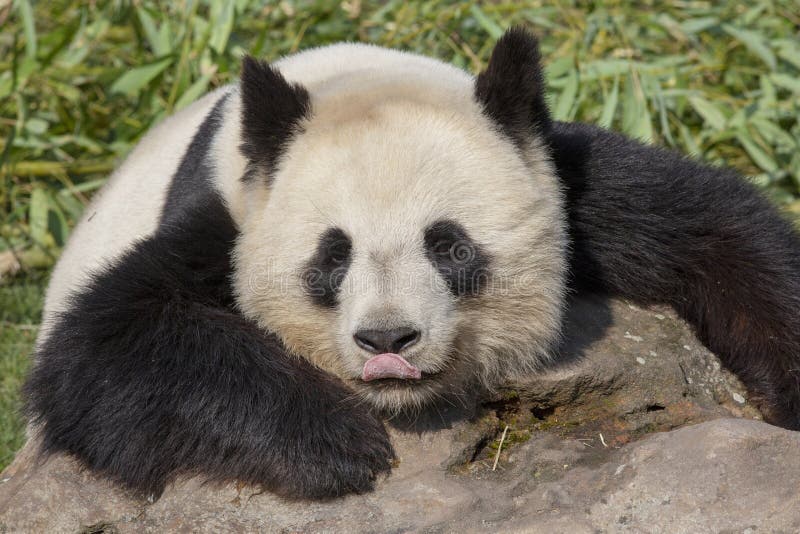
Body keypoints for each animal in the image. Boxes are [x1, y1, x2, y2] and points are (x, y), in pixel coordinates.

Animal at [23, 28, 800, 500]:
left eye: (449, 245)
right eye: (332, 256)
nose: (387, 341)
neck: (357, 77)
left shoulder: (565, 174)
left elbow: (720, 232)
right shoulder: (232, 213)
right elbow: (103, 347)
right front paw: (334, 443)